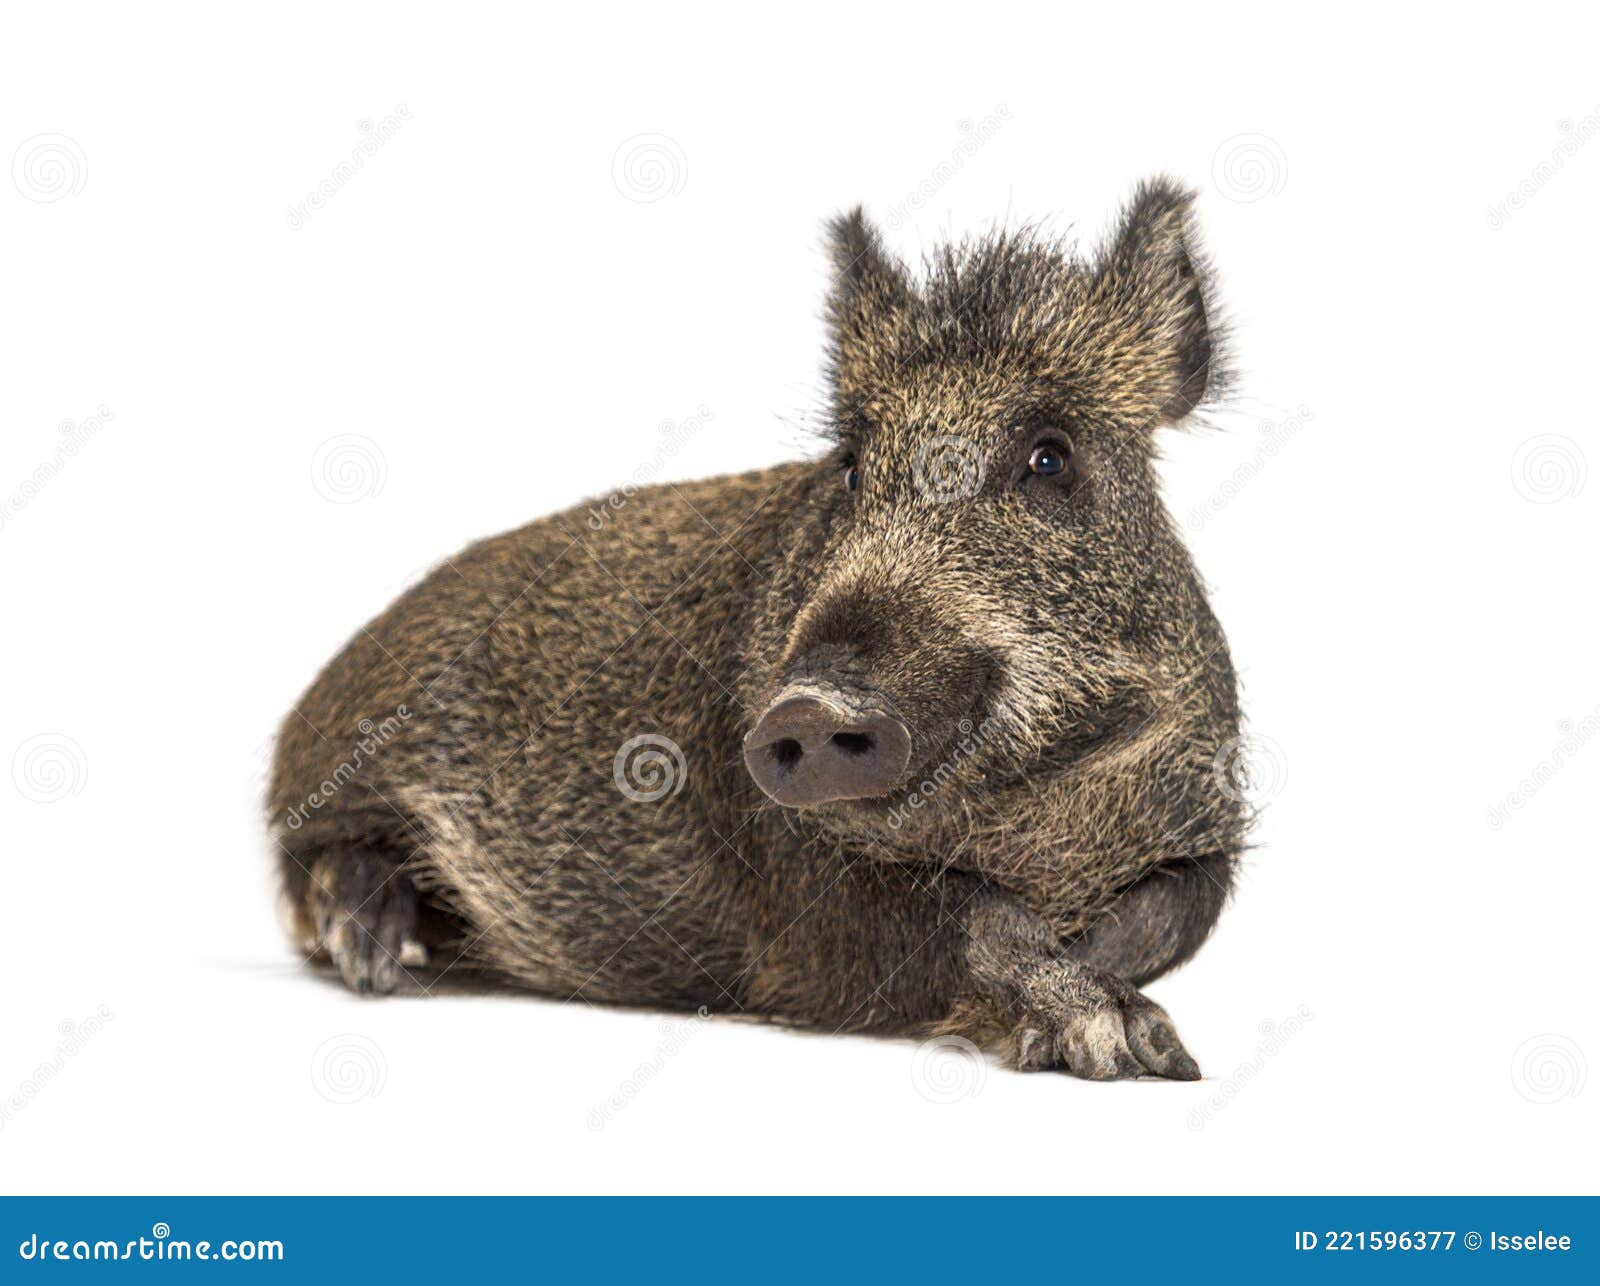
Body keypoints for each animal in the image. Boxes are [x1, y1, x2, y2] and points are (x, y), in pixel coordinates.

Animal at [268, 176, 1248, 1079]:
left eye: (1051, 457)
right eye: (851, 468)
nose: (808, 707)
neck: (1028, 804)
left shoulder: (1207, 824)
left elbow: (1161, 922)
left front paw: (1148, 1043)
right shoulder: (786, 873)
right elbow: (972, 921)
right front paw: (1119, 1041)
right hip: (332, 770)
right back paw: (380, 957)